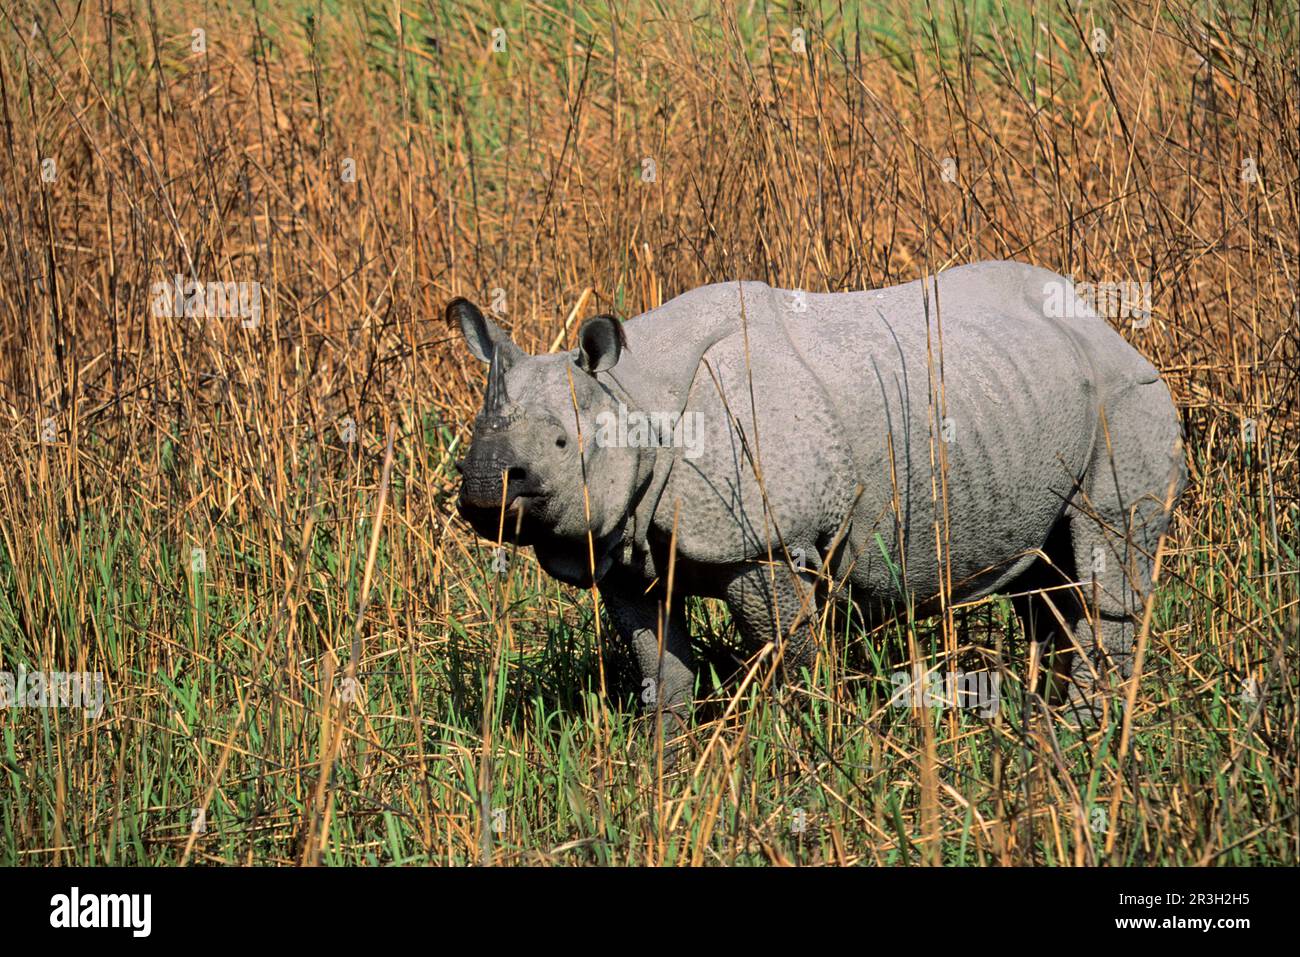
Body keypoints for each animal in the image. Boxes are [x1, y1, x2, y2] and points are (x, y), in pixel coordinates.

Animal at [451, 260, 1187, 731]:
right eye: (473, 437)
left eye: (559, 445)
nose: (483, 493)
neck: (634, 396)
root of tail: (1106, 328)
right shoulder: (625, 546)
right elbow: (660, 669)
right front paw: (665, 763)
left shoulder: (763, 543)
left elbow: (792, 655)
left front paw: (801, 747)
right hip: (1023, 394)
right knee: (1045, 578)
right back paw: (1039, 727)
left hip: (1128, 398)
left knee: (1105, 560)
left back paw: (1079, 734)